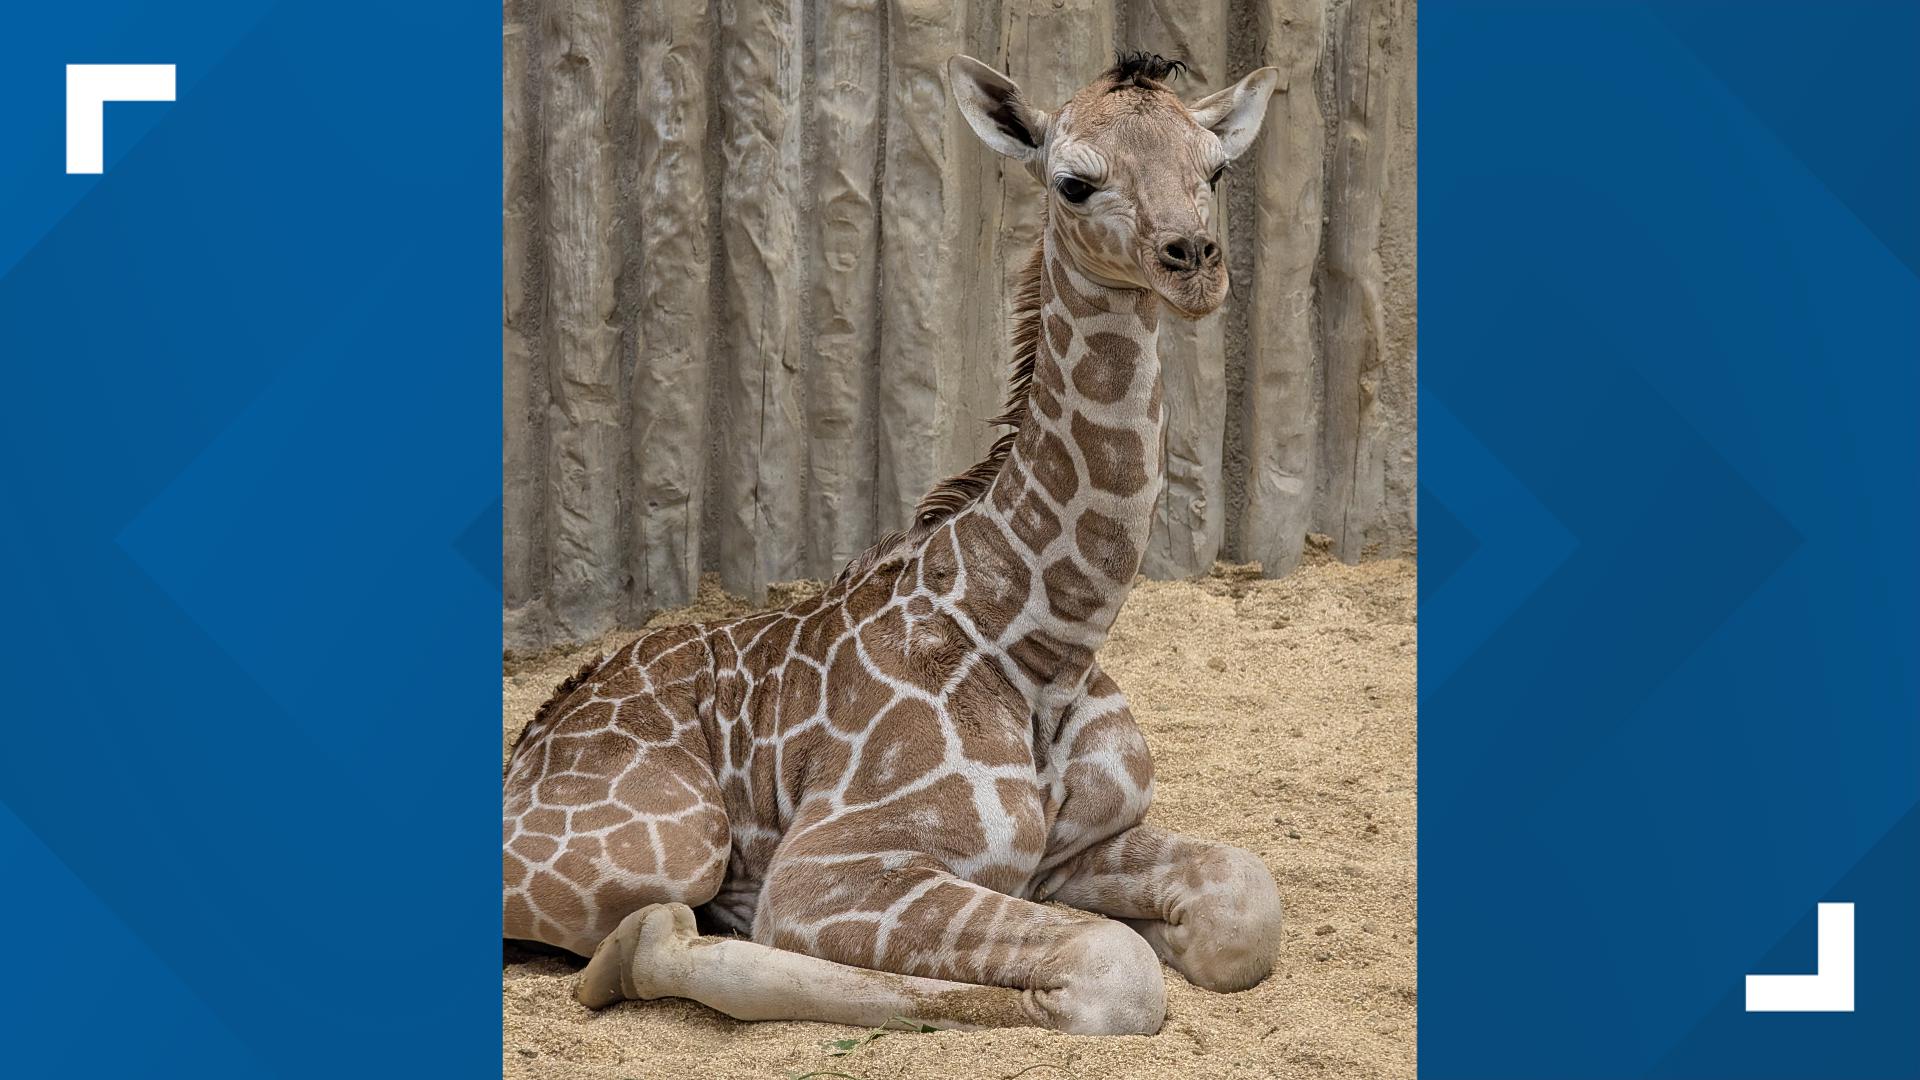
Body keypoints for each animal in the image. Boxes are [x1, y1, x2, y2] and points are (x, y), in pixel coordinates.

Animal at [503, 51, 1284, 1036]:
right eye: (1074, 182)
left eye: (1214, 171)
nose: (1193, 264)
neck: (1046, 647)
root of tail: (532, 736)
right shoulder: (827, 871)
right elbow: (1113, 966)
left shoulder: (1073, 848)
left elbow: (1244, 904)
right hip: (672, 840)